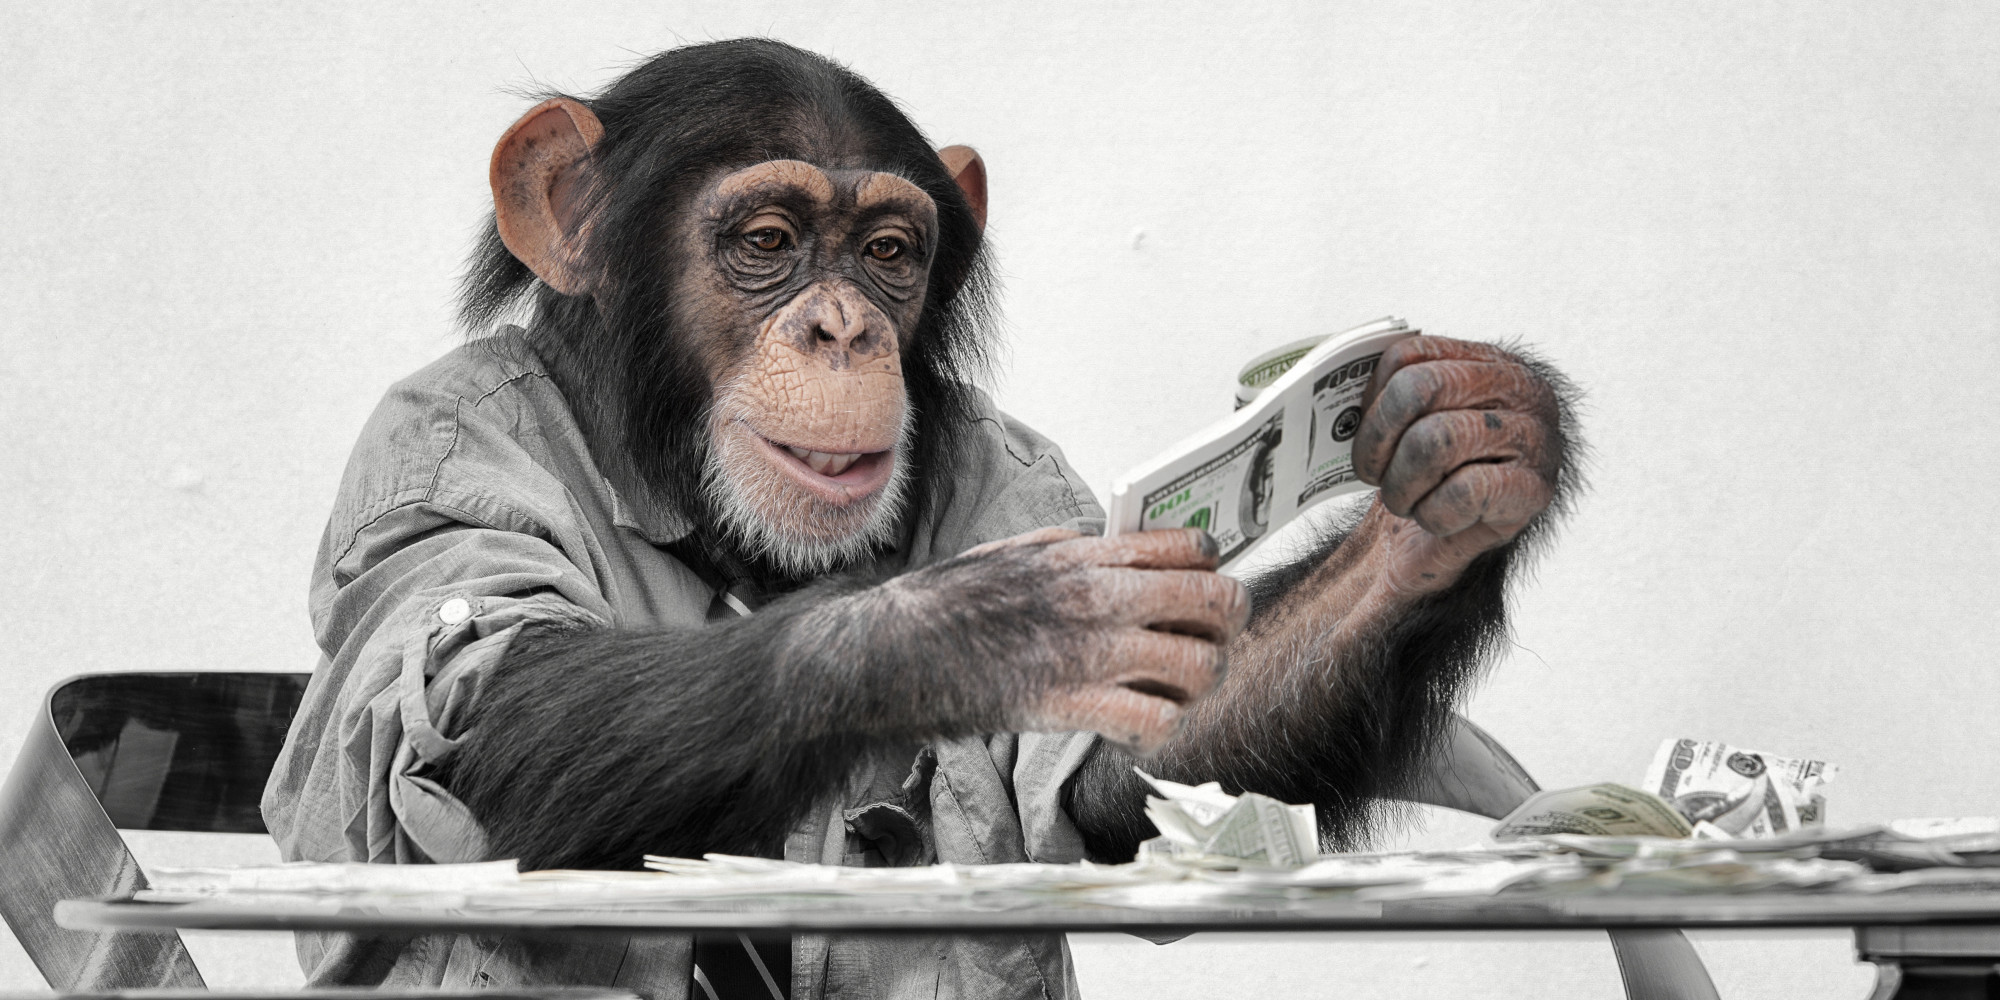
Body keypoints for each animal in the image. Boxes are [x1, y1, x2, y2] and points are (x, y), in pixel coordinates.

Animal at [264, 38, 1577, 1000]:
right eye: (768, 241)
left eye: (889, 250)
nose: (843, 326)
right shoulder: (425, 458)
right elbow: (473, 701)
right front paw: (997, 623)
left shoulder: (1019, 464)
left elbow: (1108, 776)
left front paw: (1454, 472)